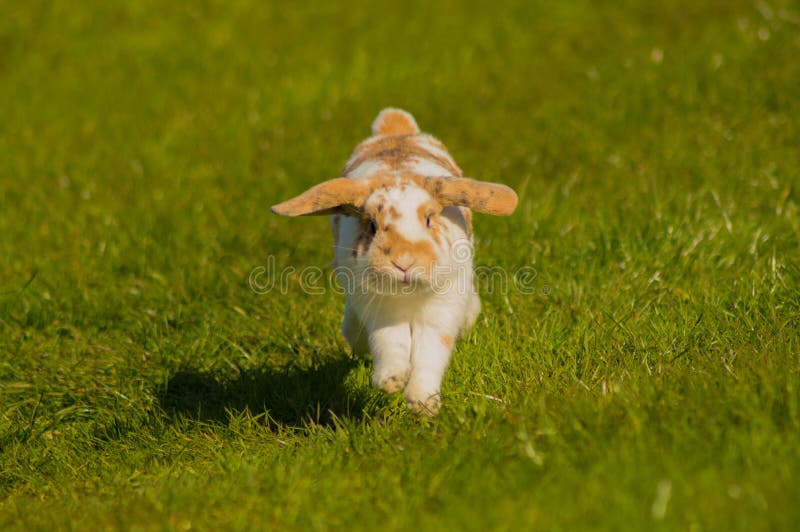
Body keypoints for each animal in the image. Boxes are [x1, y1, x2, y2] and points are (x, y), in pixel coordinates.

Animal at [271, 108, 518, 415]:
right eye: (372, 225)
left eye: (429, 219)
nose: (404, 262)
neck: (408, 296)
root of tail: (396, 129)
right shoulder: (380, 310)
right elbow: (391, 342)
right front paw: (391, 381)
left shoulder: (441, 310)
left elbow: (430, 353)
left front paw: (422, 403)